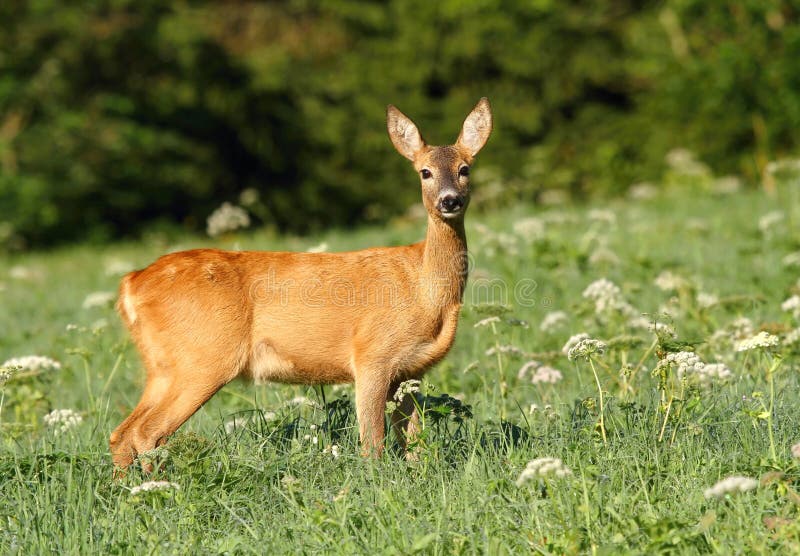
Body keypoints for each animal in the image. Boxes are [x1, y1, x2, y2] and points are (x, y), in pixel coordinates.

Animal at [109, 98, 493, 469]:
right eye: (425, 172)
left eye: (465, 169)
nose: (449, 200)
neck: (425, 291)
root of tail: (131, 283)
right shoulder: (372, 354)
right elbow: (373, 444)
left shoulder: (412, 370)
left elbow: (415, 443)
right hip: (202, 356)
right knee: (147, 432)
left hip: (162, 365)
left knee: (122, 433)